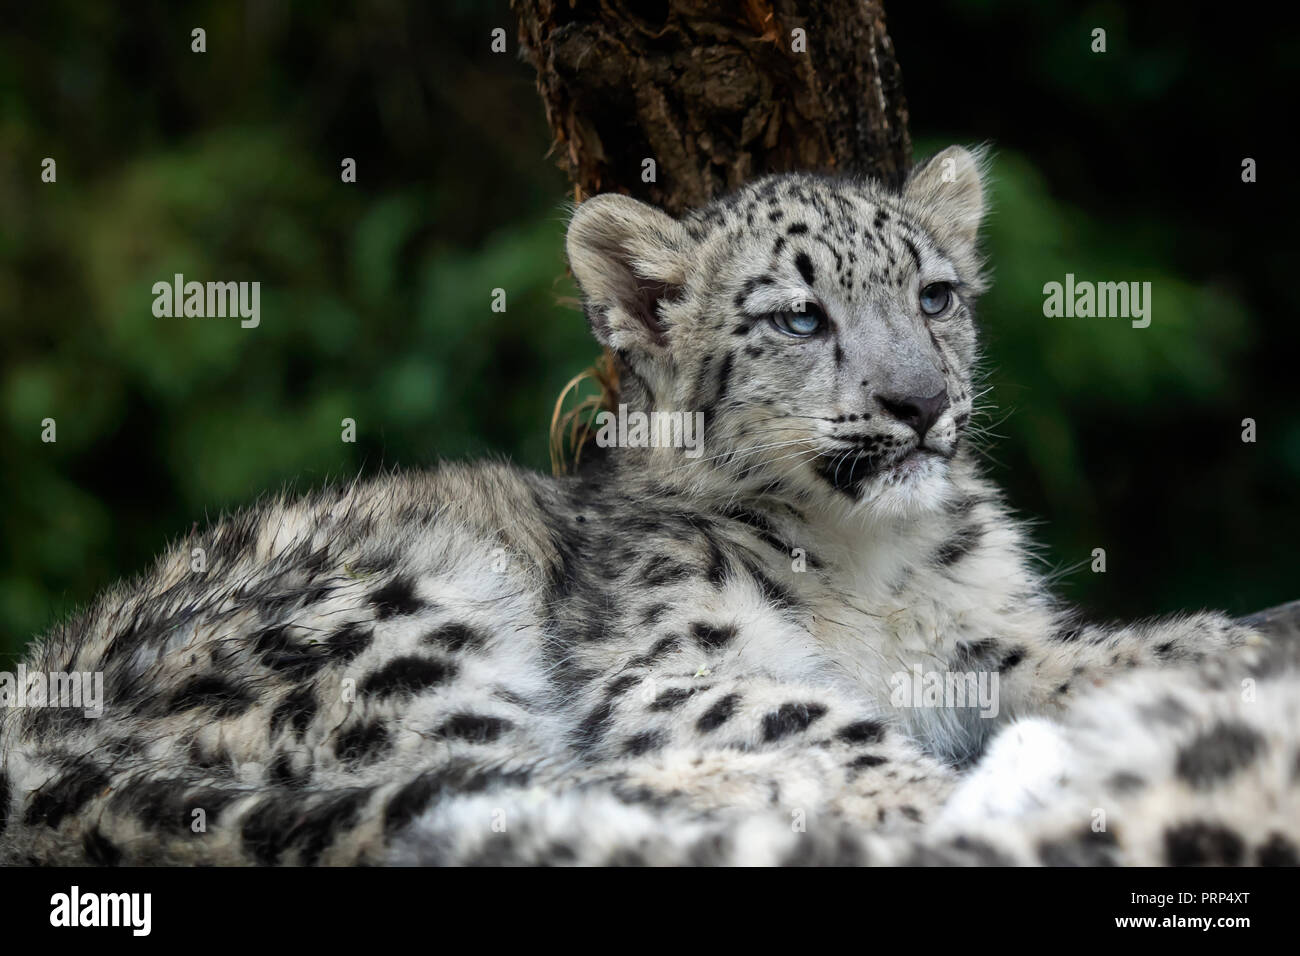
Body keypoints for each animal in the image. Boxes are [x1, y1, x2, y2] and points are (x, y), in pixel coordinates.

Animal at [1, 145, 1296, 866]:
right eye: (797, 316)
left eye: (934, 294)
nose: (920, 402)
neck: (869, 565)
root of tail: (30, 716)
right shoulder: (660, 667)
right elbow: (808, 712)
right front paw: (907, 782)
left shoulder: (973, 635)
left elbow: (1064, 656)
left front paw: (1203, 645)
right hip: (406, 614)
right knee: (496, 787)